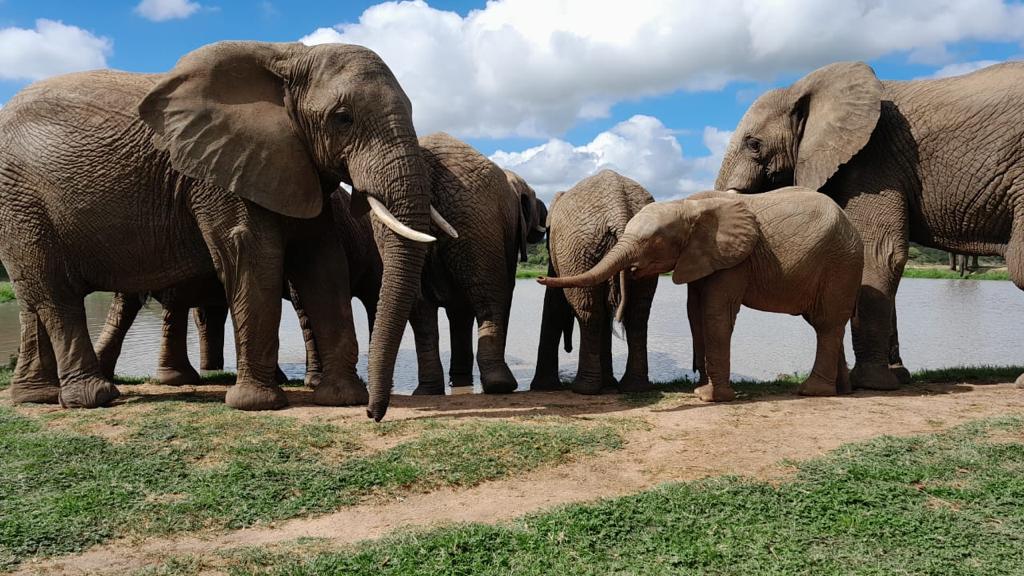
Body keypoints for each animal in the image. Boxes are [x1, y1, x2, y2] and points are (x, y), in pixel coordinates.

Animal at [0, 41, 443, 415]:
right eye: (343, 118)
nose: (375, 414)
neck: (289, 58)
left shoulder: (292, 162)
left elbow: (322, 261)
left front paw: (342, 398)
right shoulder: (217, 172)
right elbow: (251, 253)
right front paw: (258, 405)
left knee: (31, 298)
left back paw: (36, 398)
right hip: (20, 202)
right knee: (54, 292)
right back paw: (94, 398)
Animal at [530, 170, 657, 395]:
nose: (568, 348)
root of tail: (618, 208)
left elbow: (555, 304)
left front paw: (542, 388)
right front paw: (609, 383)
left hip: (579, 249)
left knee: (588, 312)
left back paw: (582, 388)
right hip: (633, 247)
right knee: (638, 313)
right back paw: (634, 387)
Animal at [540, 188, 863, 401]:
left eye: (653, 241)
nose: (542, 277)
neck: (687, 206)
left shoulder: (733, 258)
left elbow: (715, 312)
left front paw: (708, 396)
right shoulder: (701, 256)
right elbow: (694, 312)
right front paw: (703, 388)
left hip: (841, 262)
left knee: (827, 323)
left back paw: (813, 391)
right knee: (826, 323)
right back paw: (841, 390)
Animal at [715, 60, 1024, 390]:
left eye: (753, 144)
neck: (803, 87)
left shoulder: (874, 160)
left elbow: (877, 254)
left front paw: (869, 382)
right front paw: (898, 377)